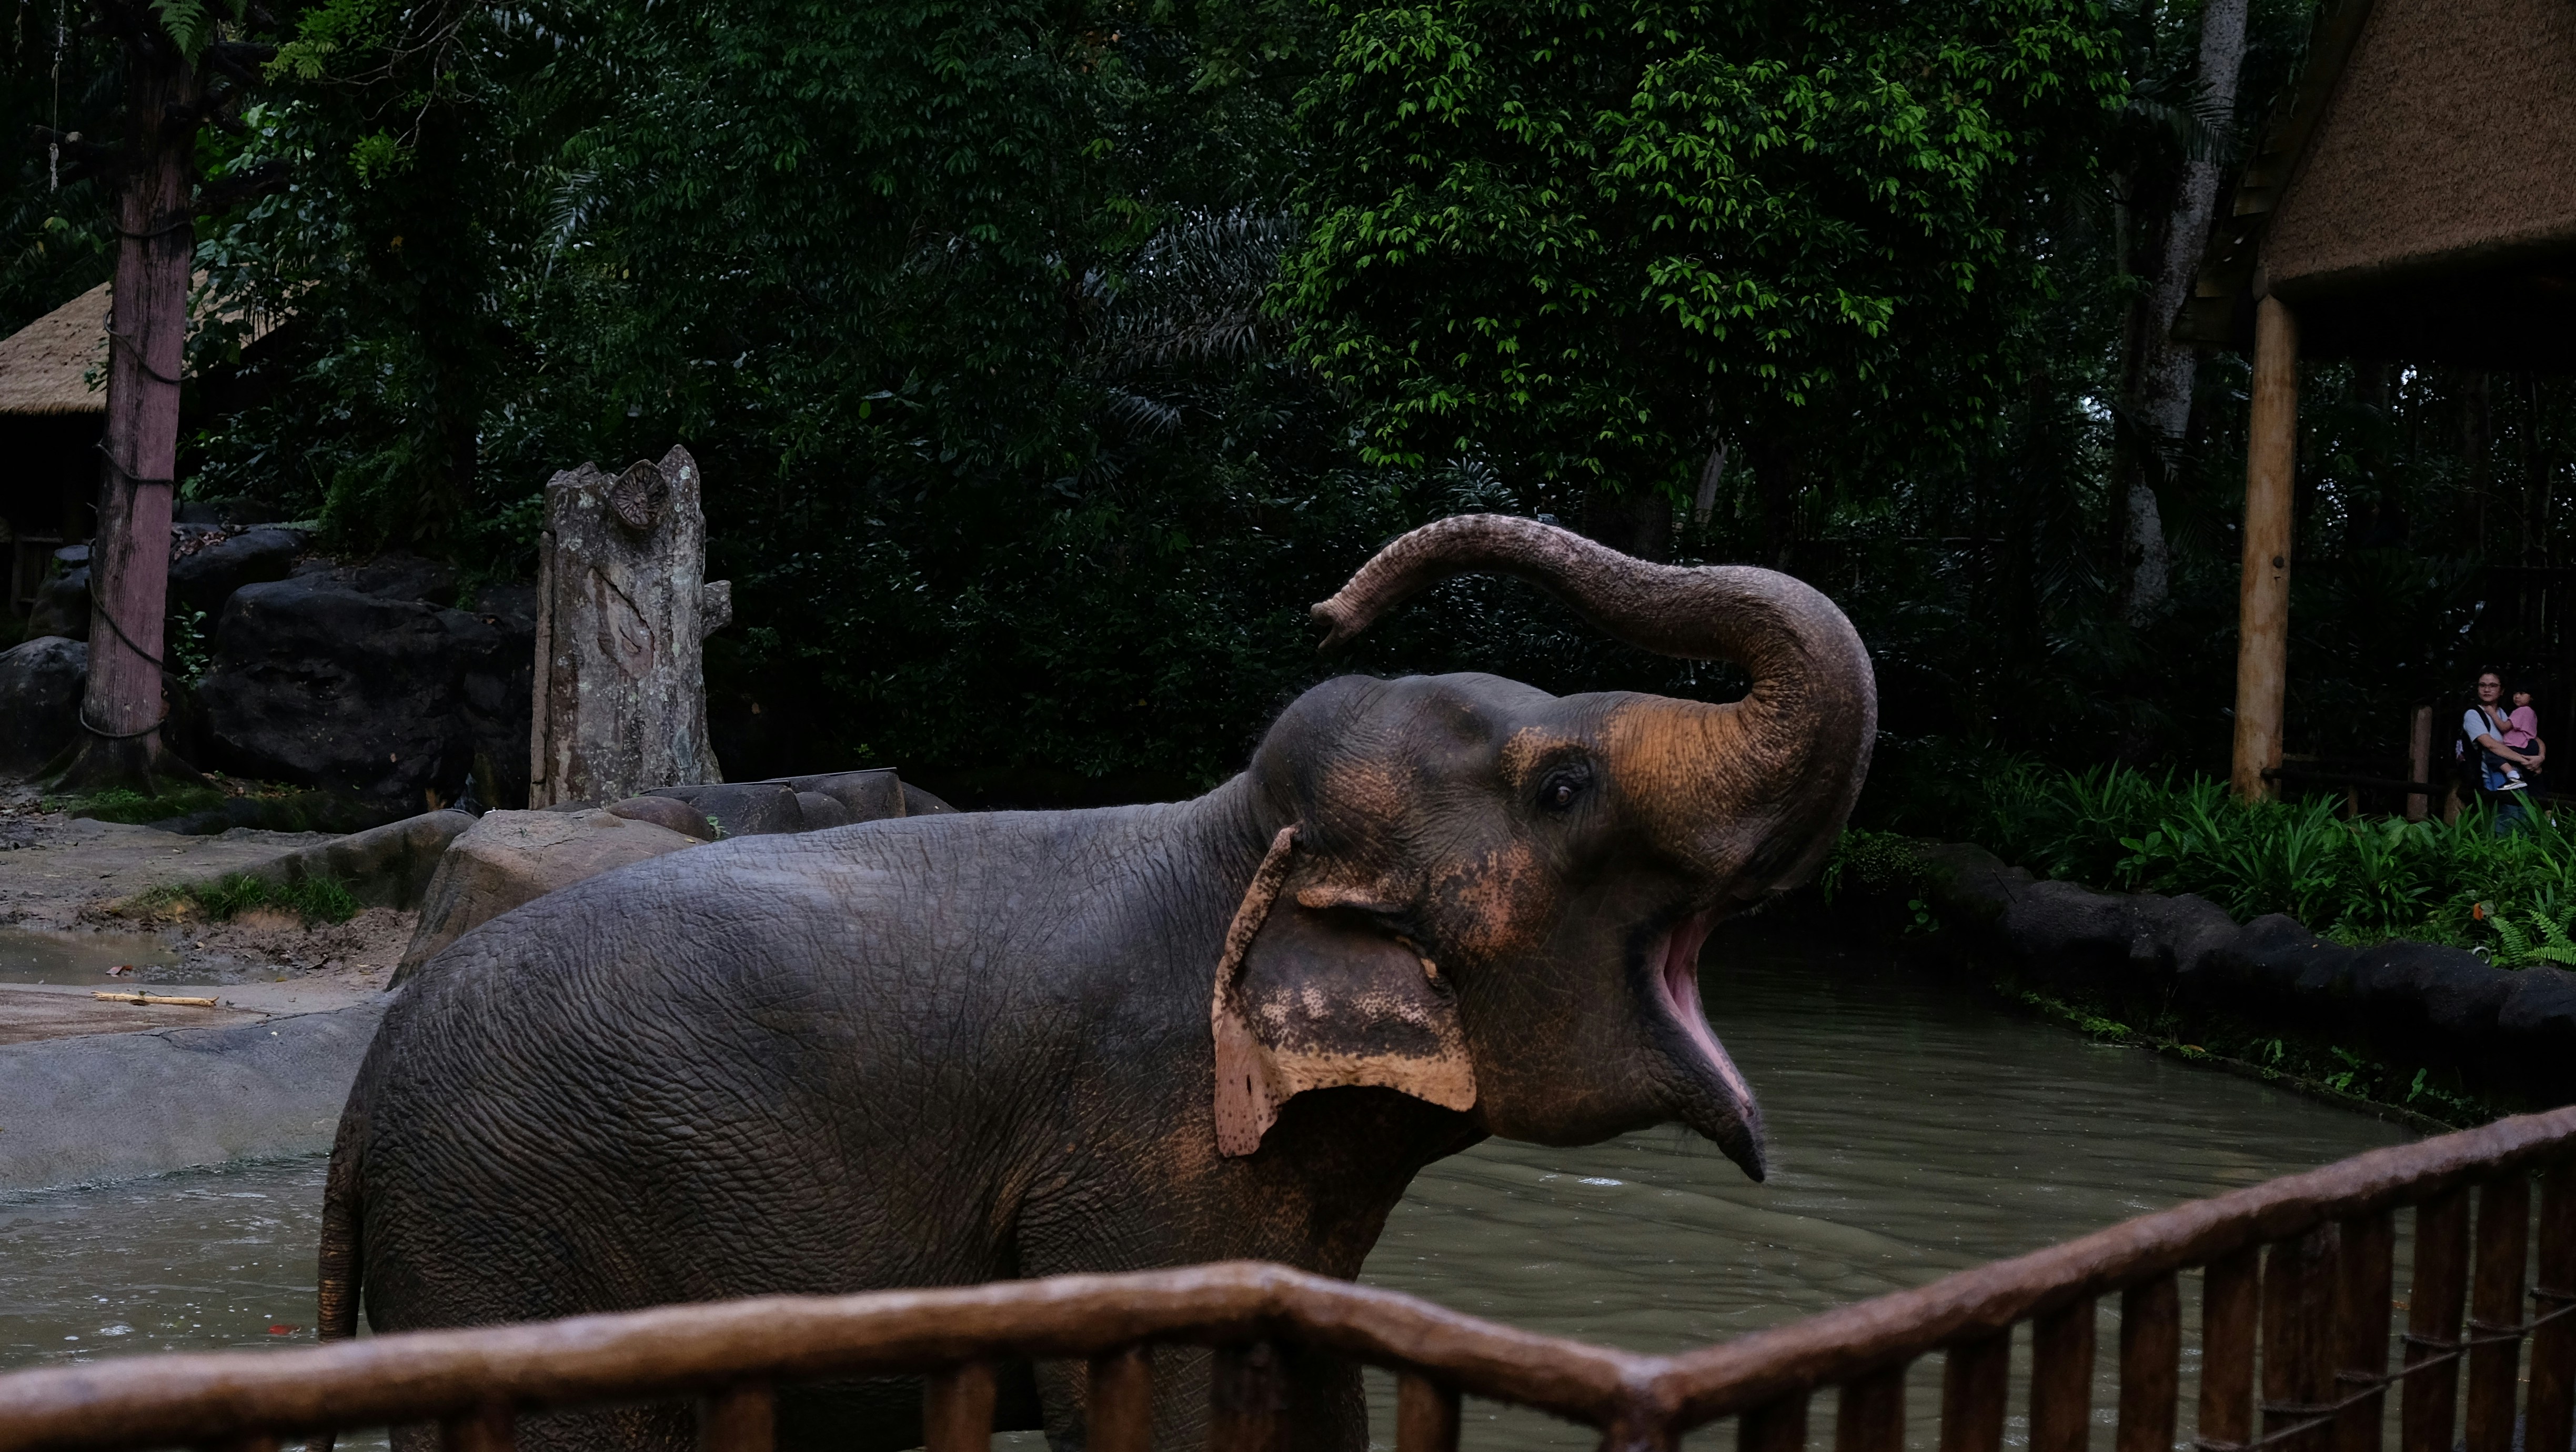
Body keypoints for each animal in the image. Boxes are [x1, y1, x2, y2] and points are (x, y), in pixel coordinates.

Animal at [317, 513, 1876, 1451]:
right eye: (1562, 789)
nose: (1330, 605)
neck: (1230, 839)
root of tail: (360, 1099)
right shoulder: (1135, 1154)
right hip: (511, 1247)